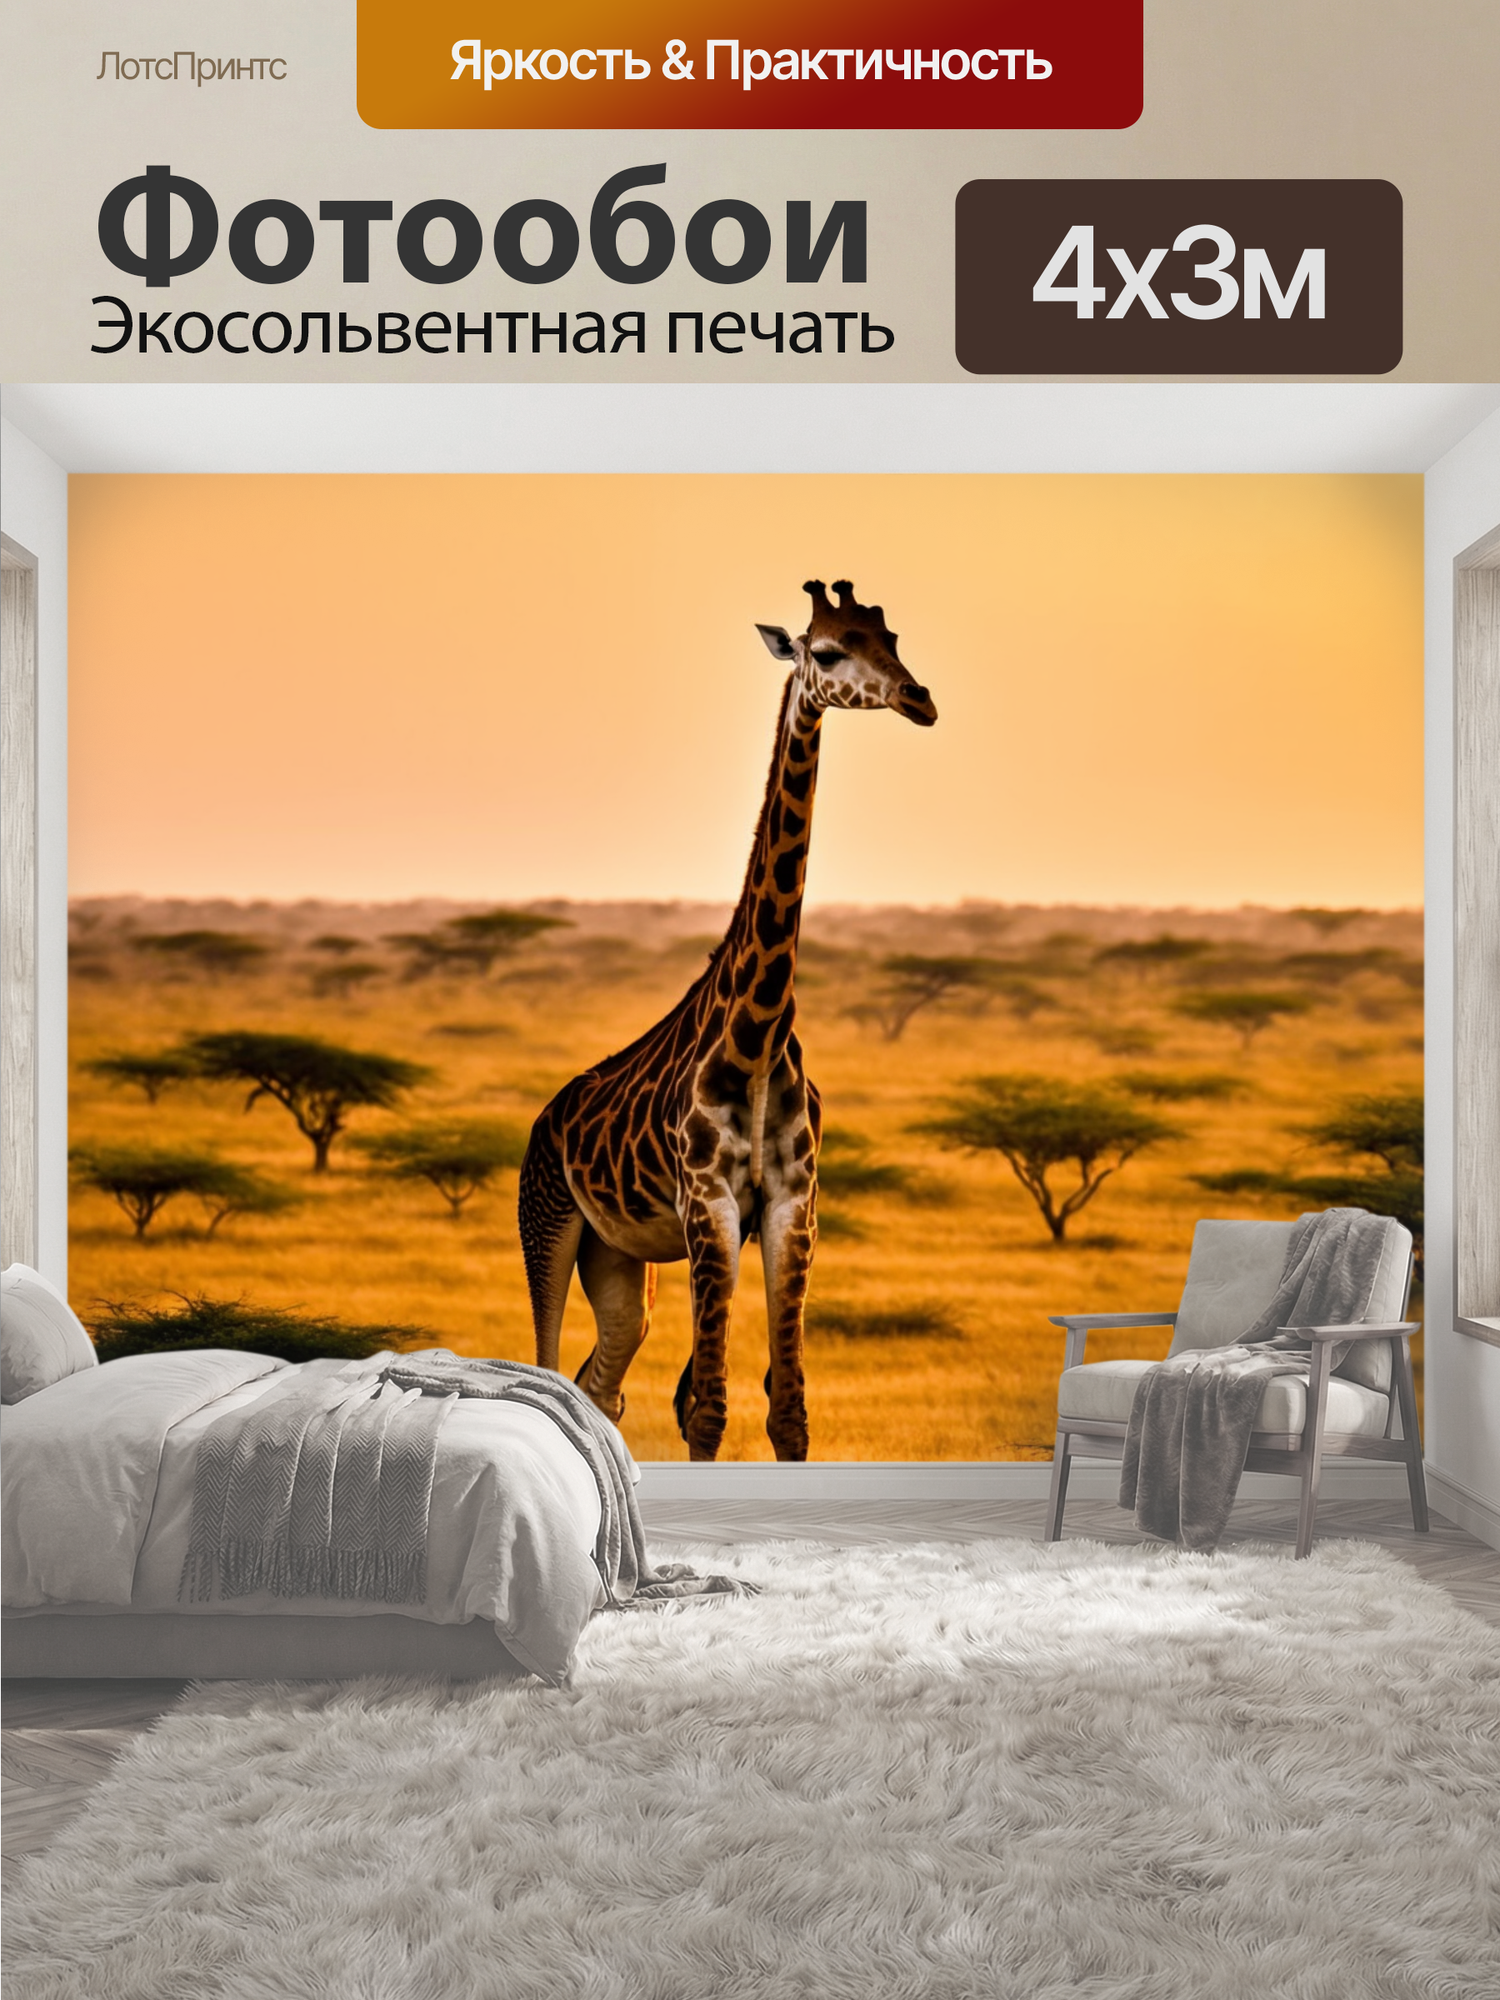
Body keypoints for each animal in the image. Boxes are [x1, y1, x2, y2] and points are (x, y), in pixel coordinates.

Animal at [518, 581, 937, 1461]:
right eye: (827, 651)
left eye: (891, 641)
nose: (921, 699)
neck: (760, 1033)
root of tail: (546, 1117)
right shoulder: (708, 1205)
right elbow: (708, 1405)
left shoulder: (789, 1205)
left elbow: (787, 1409)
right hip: (547, 1219)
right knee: (543, 1365)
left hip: (619, 1258)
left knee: (599, 1384)